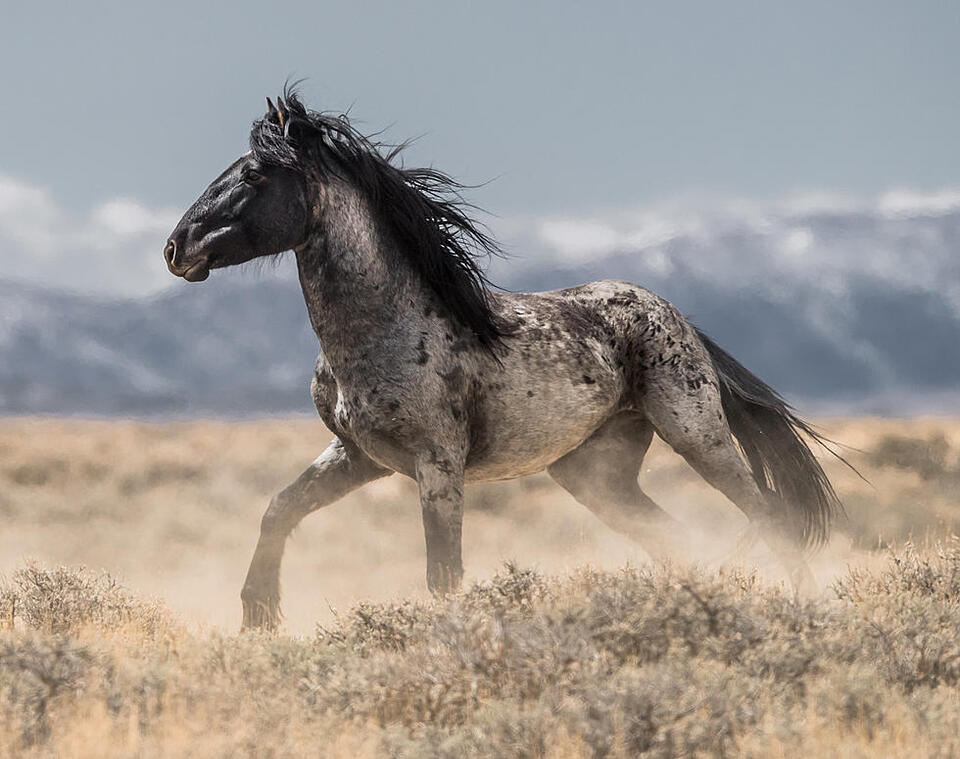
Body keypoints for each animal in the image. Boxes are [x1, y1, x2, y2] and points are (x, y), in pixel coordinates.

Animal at [164, 91, 842, 631]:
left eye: (255, 174)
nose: (176, 248)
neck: (385, 324)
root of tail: (673, 315)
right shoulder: (358, 456)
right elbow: (278, 510)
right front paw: (258, 615)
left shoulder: (437, 465)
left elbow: (444, 574)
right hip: (595, 475)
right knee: (673, 537)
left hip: (697, 435)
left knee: (771, 517)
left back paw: (806, 614)